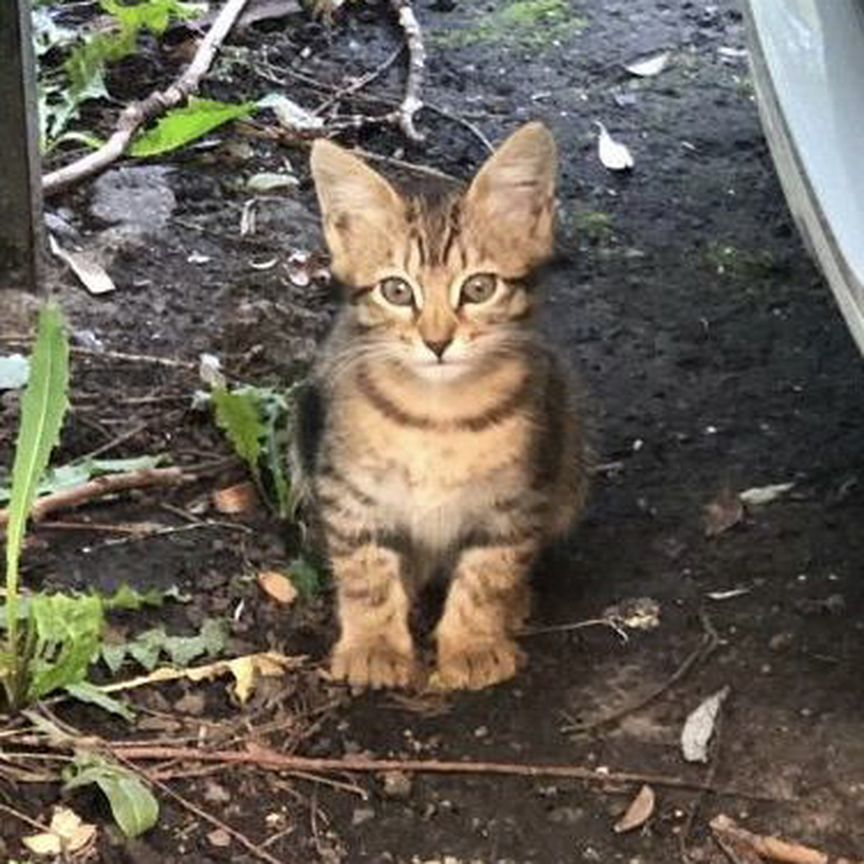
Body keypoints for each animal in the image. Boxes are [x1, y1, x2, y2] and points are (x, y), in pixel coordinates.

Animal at [296, 121, 588, 692]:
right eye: (395, 290)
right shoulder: (348, 492)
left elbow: (490, 571)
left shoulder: (517, 496)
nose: (436, 342)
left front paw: (474, 644)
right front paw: (374, 645)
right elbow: (364, 569)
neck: (437, 416)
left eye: (478, 287)